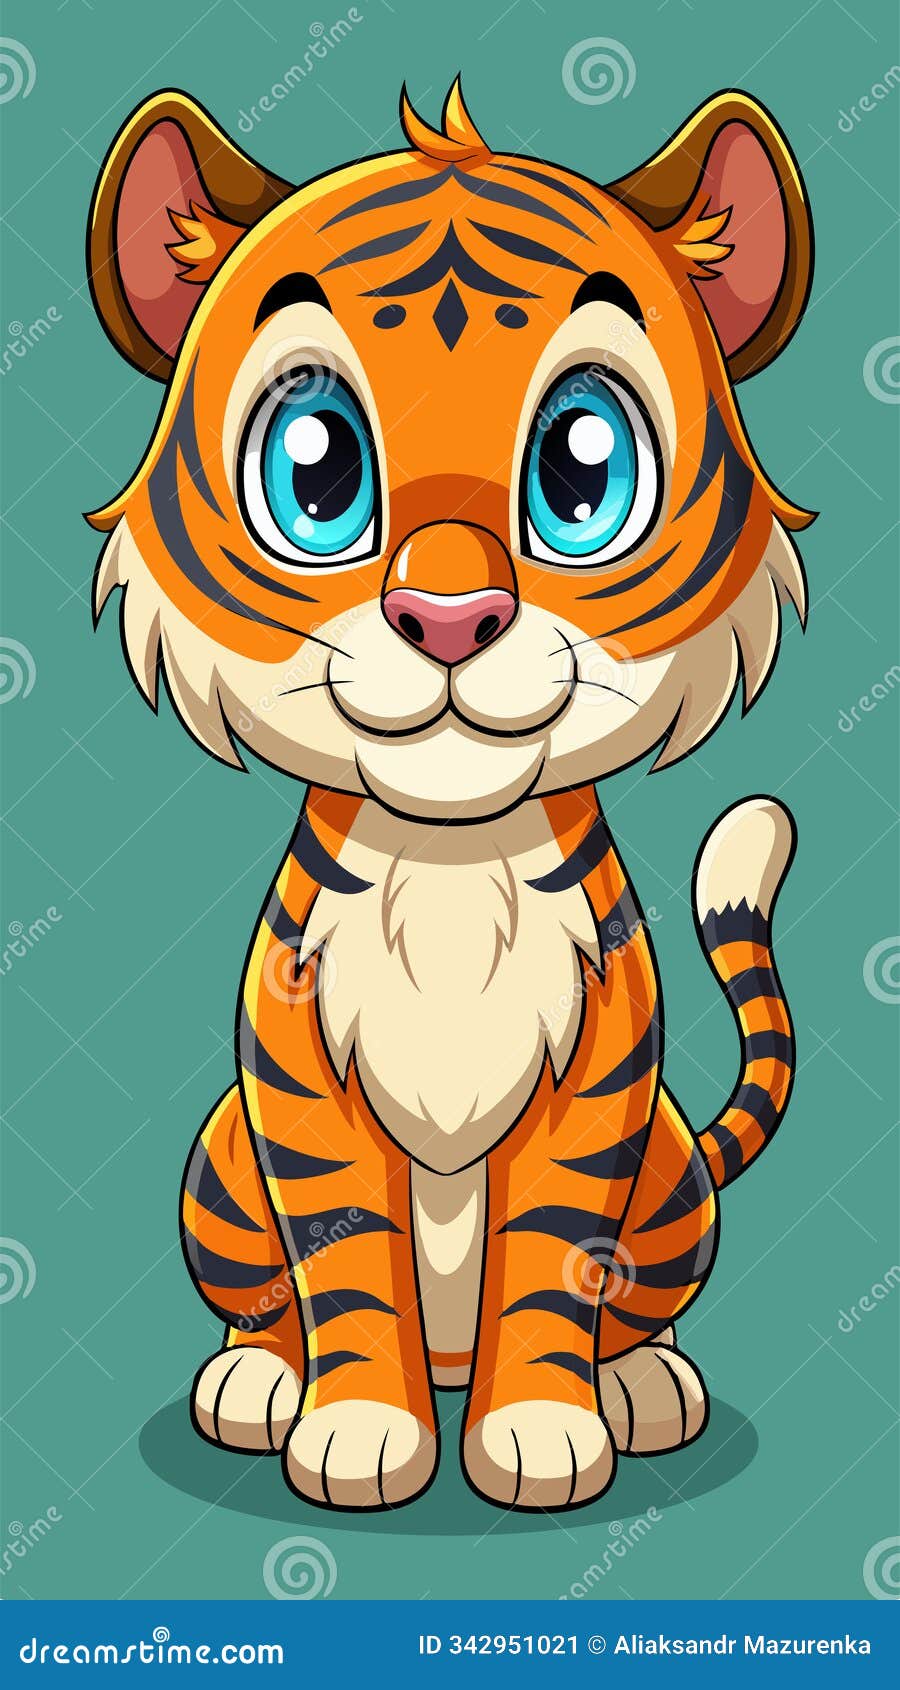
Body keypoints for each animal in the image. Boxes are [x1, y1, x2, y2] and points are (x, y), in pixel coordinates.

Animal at [86, 79, 813, 1511]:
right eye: (316, 471)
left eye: (583, 470)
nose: (449, 616)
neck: (450, 856)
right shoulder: (297, 1088)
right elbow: (346, 1259)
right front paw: (360, 1430)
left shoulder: (601, 1088)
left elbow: (554, 1258)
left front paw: (542, 1432)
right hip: (223, 1163)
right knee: (270, 1304)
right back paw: (254, 1382)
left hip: (668, 1178)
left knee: (631, 1303)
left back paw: (644, 1385)